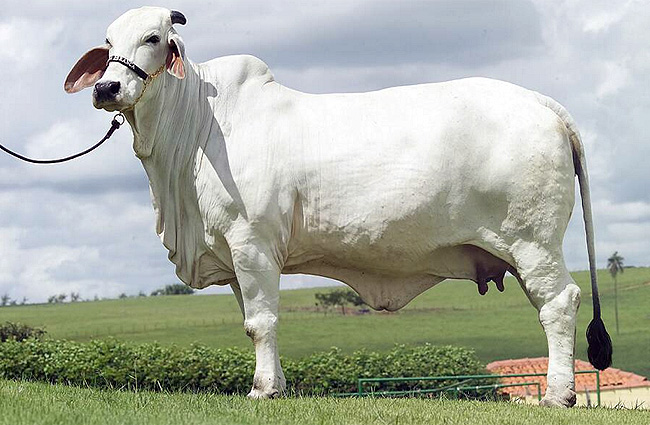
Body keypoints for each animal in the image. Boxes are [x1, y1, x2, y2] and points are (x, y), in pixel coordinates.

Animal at [64, 7, 611, 406]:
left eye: (153, 38)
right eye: (108, 44)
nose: (107, 87)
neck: (198, 126)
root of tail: (541, 103)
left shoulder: (252, 243)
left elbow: (262, 322)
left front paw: (263, 391)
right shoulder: (237, 258)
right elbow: (253, 321)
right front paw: (276, 385)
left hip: (534, 244)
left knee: (558, 304)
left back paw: (558, 395)